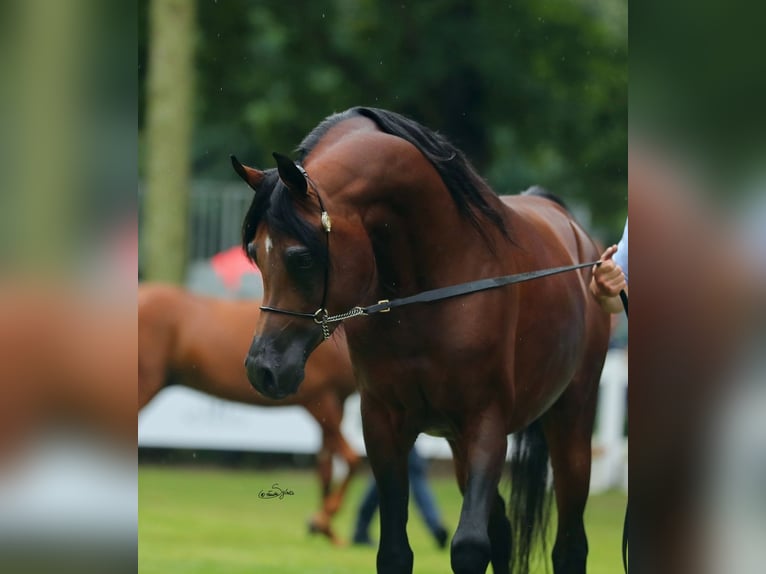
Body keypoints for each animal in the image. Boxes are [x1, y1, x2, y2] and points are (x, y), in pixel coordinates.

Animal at [137, 283, 360, 544]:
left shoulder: (335, 404)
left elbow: (326, 468)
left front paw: (323, 527)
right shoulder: (319, 401)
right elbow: (351, 459)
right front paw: (323, 520)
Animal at [232, 107, 611, 574]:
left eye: (301, 257)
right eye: (254, 253)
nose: (262, 368)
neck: (431, 289)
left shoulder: (486, 423)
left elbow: (470, 546)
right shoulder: (384, 425)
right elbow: (396, 550)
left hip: (570, 424)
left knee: (569, 545)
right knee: (503, 529)